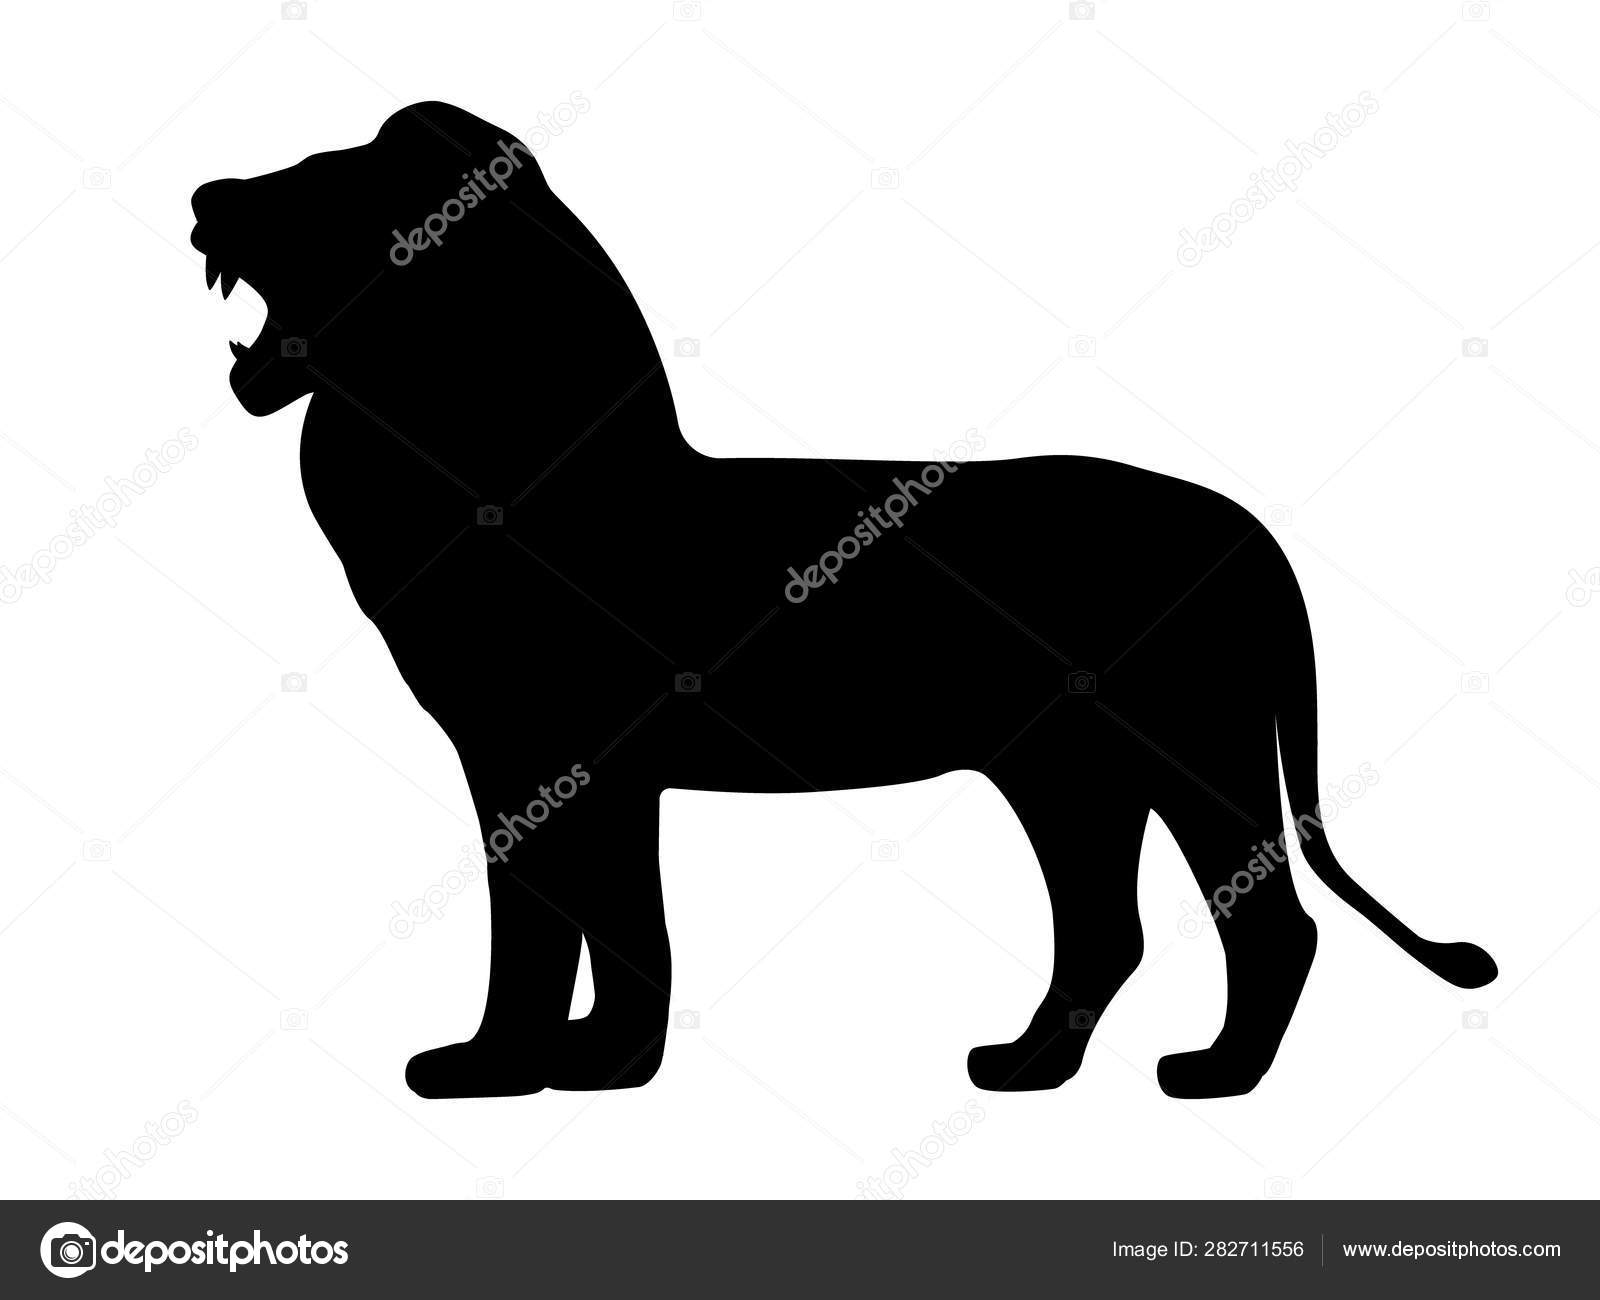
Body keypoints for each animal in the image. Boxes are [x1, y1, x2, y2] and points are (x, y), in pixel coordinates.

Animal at [190, 103, 1495, 1101]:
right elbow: (623, 921)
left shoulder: (532, 749)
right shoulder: (596, 773)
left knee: (1267, 921)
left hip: (1189, 745)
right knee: (1103, 930)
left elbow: (548, 923)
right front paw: (602, 1063)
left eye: (327, 184)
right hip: (1067, 773)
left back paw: (1213, 1078)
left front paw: (495, 1070)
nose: (205, 191)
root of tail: (1249, 529)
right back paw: (1022, 1069)